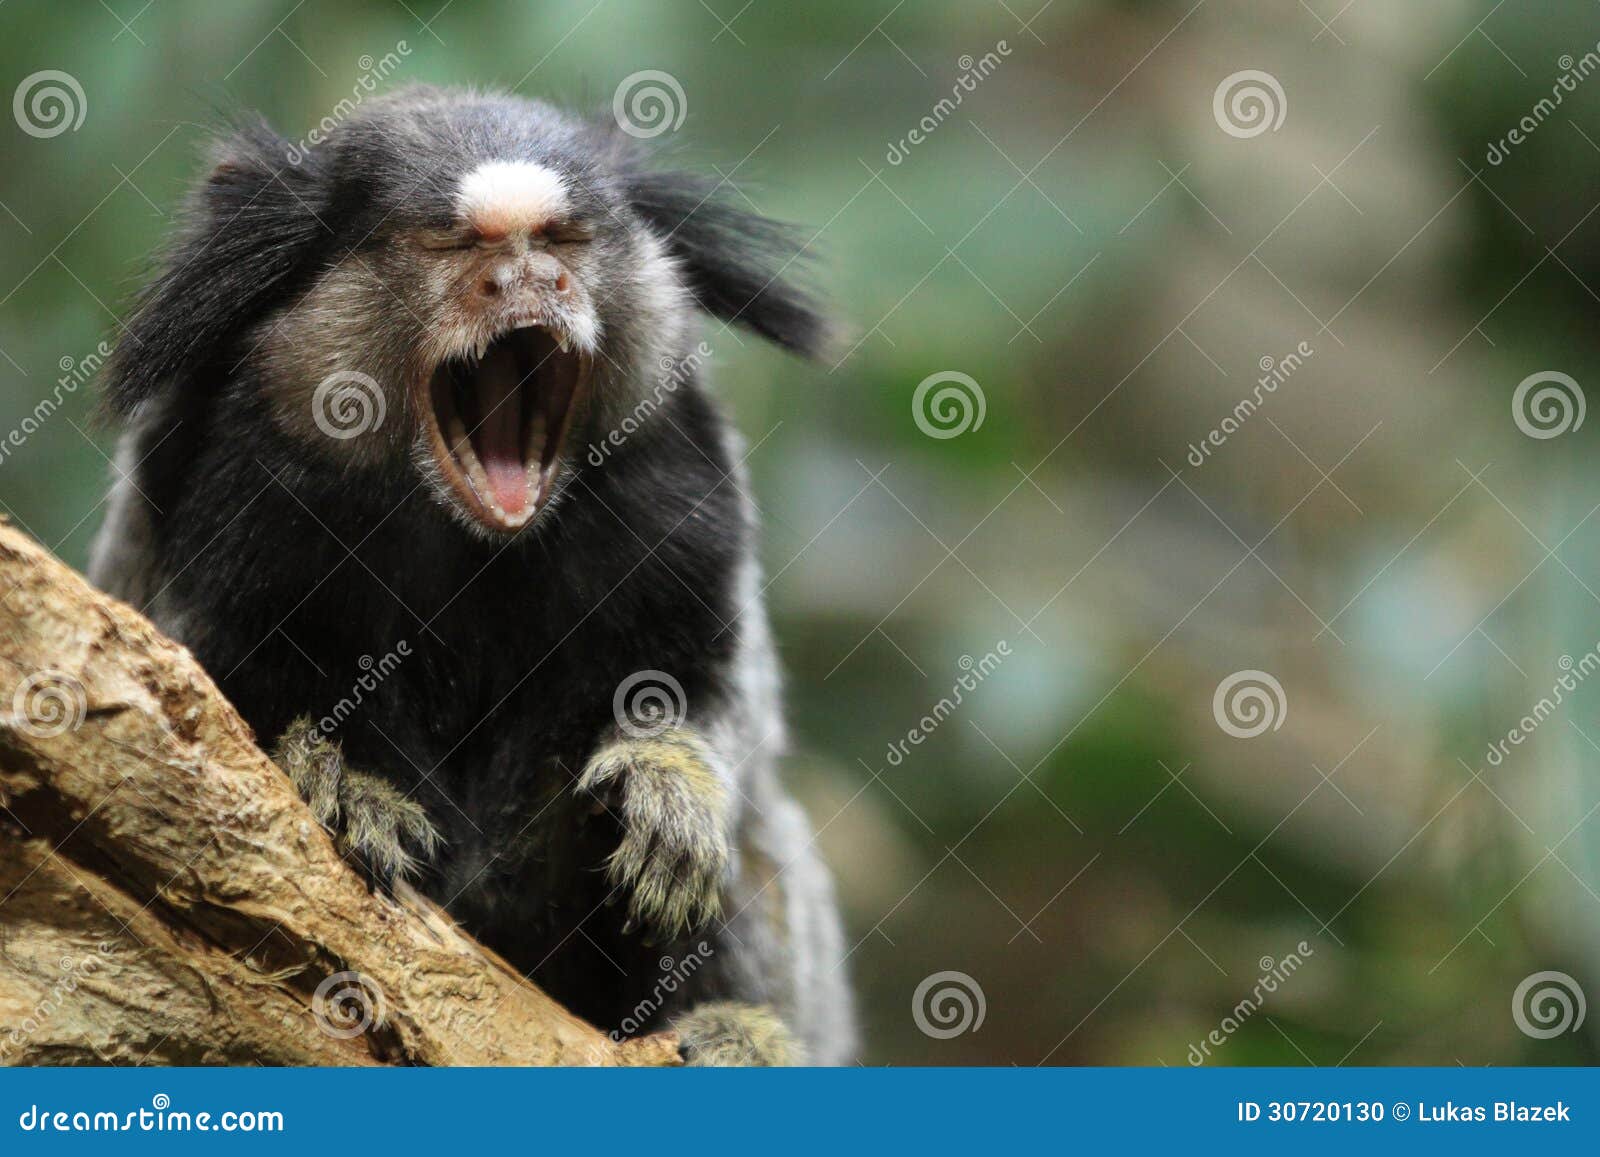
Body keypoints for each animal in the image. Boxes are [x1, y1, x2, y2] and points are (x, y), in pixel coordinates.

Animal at [86, 85, 856, 1065]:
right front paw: (341, 780)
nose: (532, 283)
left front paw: (669, 782)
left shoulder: (677, 478)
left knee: (759, 838)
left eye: (563, 240)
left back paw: (737, 1027)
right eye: (454, 245)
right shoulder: (230, 481)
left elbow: (724, 709)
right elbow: (197, 707)